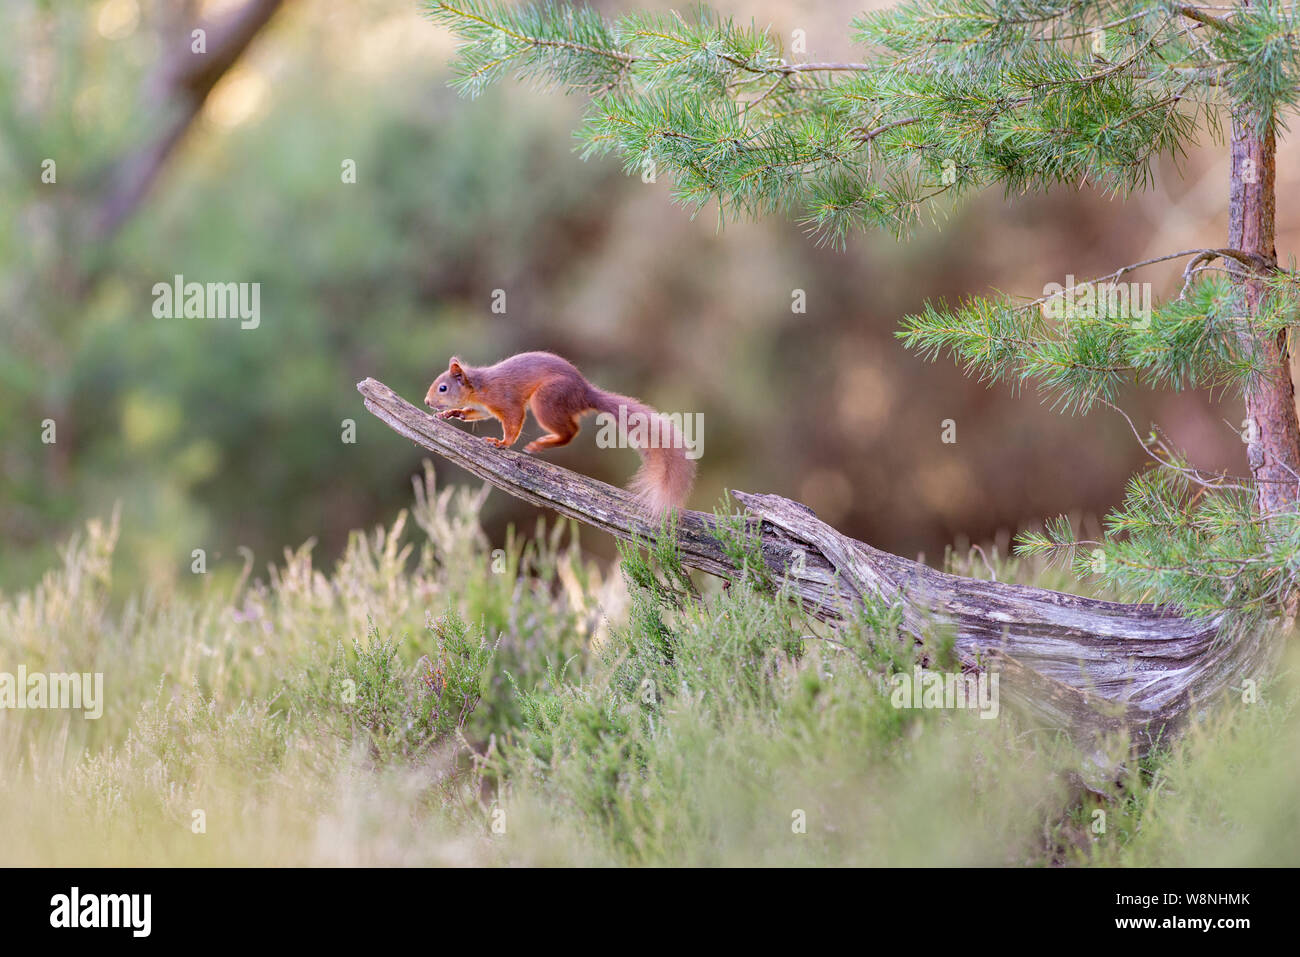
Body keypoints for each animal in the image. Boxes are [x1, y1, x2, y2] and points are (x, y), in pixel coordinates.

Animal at [424, 351, 696, 514]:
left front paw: (501, 442)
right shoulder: (482, 408)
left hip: (546, 400)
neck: (479, 386)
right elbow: (472, 413)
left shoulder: (506, 402)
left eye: (443, 387)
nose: (426, 401)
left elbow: (513, 422)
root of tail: (585, 393)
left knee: (572, 430)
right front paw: (451, 414)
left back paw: (540, 444)